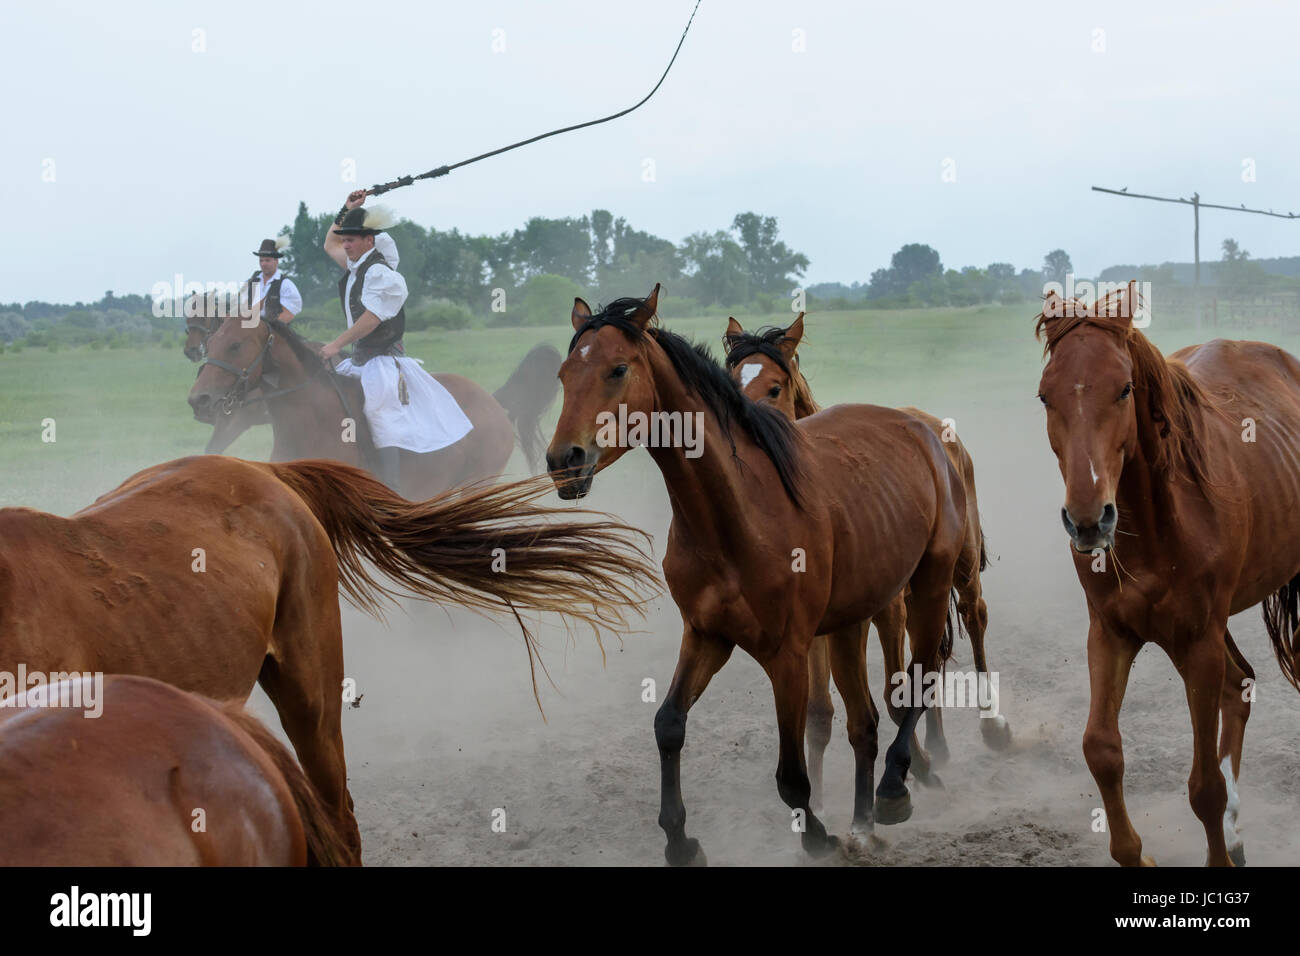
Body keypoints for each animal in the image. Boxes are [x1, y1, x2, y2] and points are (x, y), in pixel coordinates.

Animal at [546, 284, 971, 865]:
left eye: (616, 369)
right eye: (564, 374)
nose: (563, 461)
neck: (739, 514)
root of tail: (923, 430)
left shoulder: (787, 654)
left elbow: (792, 772)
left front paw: (817, 836)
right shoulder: (706, 635)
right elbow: (668, 726)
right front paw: (680, 840)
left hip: (927, 584)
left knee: (920, 678)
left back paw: (893, 789)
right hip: (852, 619)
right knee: (864, 721)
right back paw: (863, 821)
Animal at [722, 314, 1009, 806]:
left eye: (775, 387)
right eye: (731, 379)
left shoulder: (884, 611)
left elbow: (896, 695)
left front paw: (908, 774)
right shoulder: (817, 630)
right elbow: (819, 711)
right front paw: (816, 798)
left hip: (961, 568)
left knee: (974, 618)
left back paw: (991, 728)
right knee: (932, 652)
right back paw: (937, 744)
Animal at [1035, 280, 1300, 867]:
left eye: (1125, 389)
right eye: (1045, 396)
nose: (1088, 520)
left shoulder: (1196, 642)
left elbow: (1205, 787)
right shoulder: (1111, 633)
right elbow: (1101, 750)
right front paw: (1137, 853)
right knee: (1239, 686)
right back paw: (1238, 834)